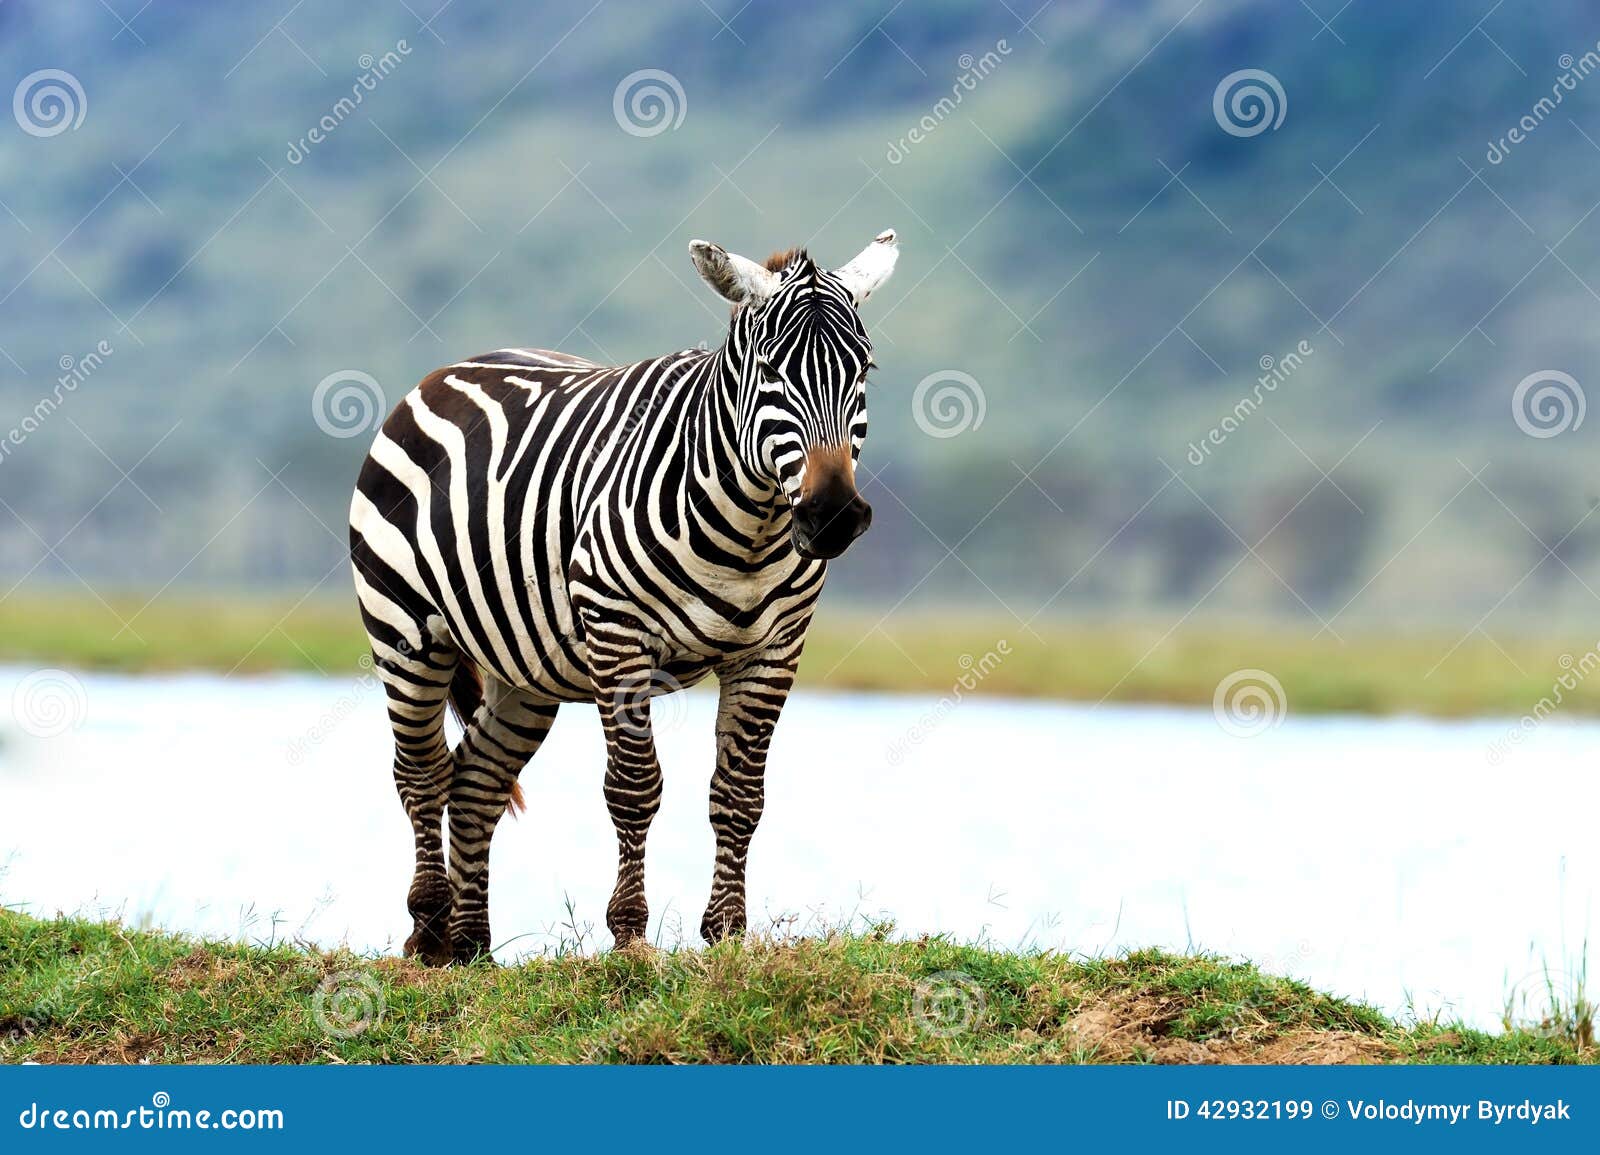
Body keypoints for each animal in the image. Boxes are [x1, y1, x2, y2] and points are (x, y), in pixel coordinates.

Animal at [349, 229, 899, 962]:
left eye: (863, 369)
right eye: (770, 371)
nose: (833, 516)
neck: (750, 531)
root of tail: (451, 370)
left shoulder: (773, 652)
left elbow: (739, 794)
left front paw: (726, 932)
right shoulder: (619, 637)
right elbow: (635, 787)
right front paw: (631, 932)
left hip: (525, 666)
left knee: (474, 781)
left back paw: (470, 944)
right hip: (406, 630)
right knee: (422, 772)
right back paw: (429, 923)